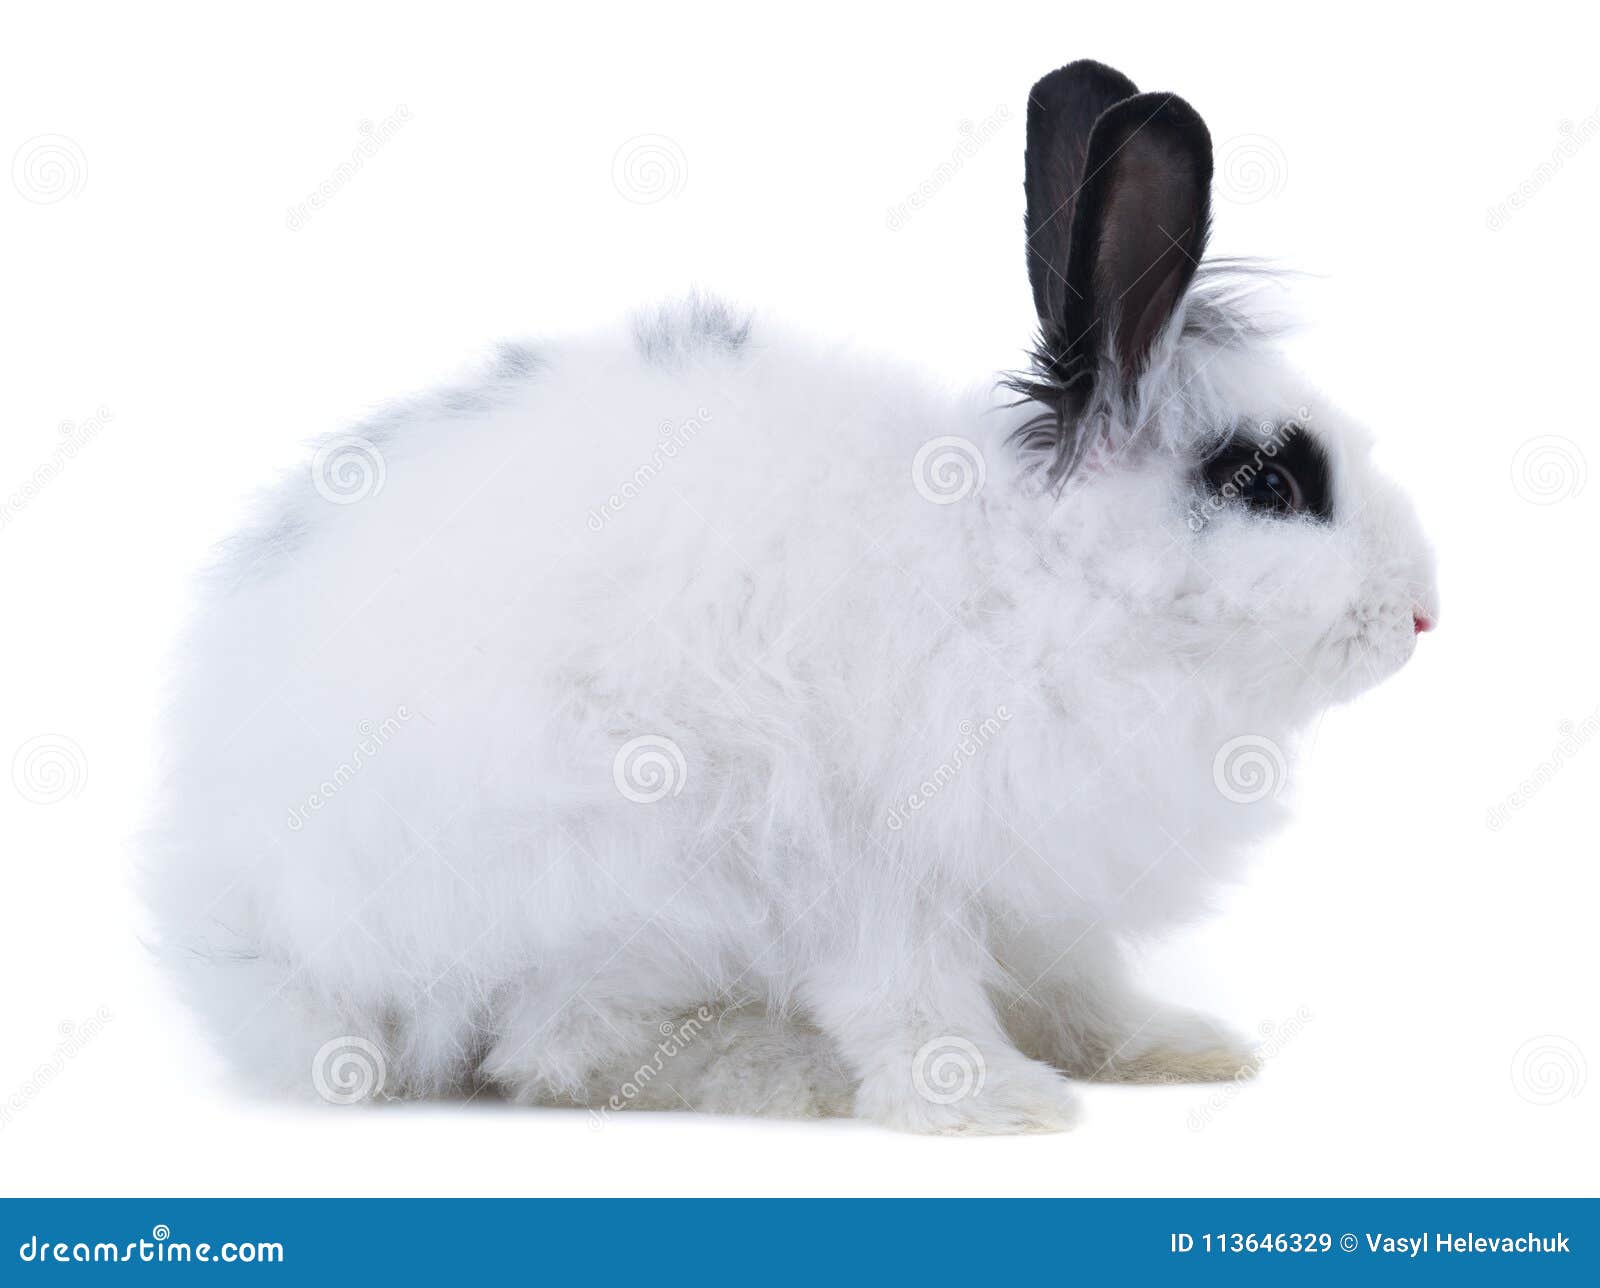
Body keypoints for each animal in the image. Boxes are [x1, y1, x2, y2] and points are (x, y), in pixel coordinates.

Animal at [145, 60, 1437, 1135]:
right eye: (1267, 483)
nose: (1423, 613)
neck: (1038, 585)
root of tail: (259, 960)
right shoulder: (878, 872)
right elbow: (910, 998)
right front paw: (990, 1106)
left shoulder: (1044, 892)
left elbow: (1083, 987)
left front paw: (1180, 1050)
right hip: (606, 876)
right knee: (554, 1049)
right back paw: (790, 1077)